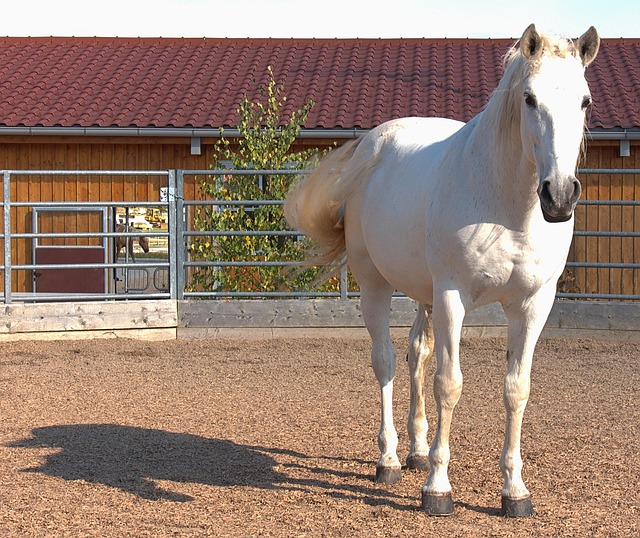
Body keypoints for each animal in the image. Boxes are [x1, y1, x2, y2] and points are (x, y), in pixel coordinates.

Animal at [284, 24, 600, 517]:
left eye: (584, 101)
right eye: (529, 98)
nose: (560, 195)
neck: (506, 205)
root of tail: (372, 146)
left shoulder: (533, 305)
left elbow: (516, 389)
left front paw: (515, 490)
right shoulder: (453, 297)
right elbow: (449, 385)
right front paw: (438, 488)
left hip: (423, 296)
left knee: (416, 355)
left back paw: (416, 450)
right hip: (376, 286)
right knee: (386, 361)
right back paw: (391, 459)